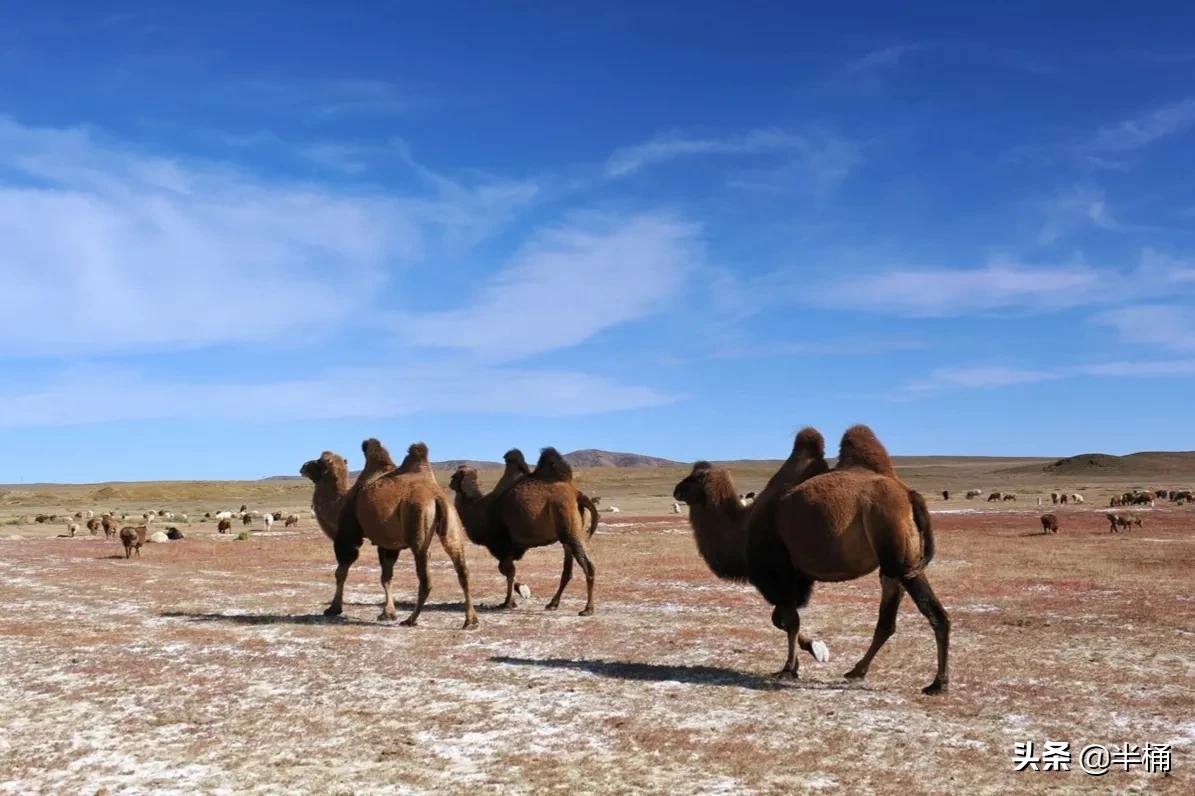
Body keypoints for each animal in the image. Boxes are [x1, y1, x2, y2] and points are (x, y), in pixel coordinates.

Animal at [332, 440, 477, 629]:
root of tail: (437, 497)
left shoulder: (349, 532)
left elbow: (342, 570)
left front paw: (334, 608)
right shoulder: (388, 544)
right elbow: (386, 577)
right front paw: (387, 613)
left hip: (417, 522)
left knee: (425, 579)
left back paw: (411, 619)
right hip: (453, 524)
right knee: (463, 571)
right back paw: (471, 620)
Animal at [449, 448, 599, 613]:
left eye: (453, 476)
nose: (449, 483)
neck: (477, 508)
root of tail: (578, 495)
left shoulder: (502, 544)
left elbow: (507, 570)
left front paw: (511, 600)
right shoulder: (511, 547)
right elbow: (507, 570)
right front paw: (517, 594)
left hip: (569, 529)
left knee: (588, 566)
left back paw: (587, 609)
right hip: (569, 536)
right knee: (568, 570)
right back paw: (552, 603)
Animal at [676, 425, 949, 695]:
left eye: (694, 477)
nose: (676, 489)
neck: (742, 529)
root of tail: (909, 495)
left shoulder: (779, 578)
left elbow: (786, 621)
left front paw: (796, 664)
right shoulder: (797, 579)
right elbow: (784, 620)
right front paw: (809, 654)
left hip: (898, 558)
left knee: (933, 614)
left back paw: (937, 684)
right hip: (899, 565)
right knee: (889, 621)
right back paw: (858, 671)